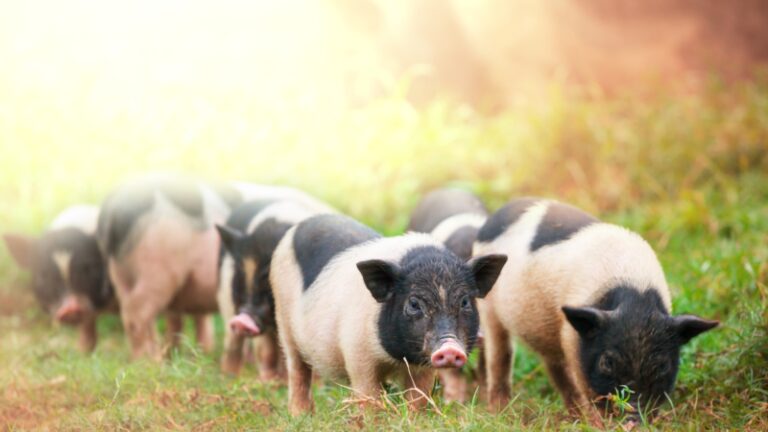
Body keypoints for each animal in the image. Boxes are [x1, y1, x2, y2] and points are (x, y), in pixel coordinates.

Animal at [216, 198, 330, 377]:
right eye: (239, 274)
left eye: (267, 277)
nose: (243, 319)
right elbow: (265, 351)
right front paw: (267, 380)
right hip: (225, 298)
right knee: (233, 342)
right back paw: (229, 376)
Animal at [270, 213, 507, 415]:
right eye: (414, 303)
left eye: (465, 301)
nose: (450, 348)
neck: (396, 358)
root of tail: (297, 227)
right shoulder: (356, 352)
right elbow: (368, 396)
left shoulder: (424, 365)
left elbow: (418, 396)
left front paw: (414, 420)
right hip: (283, 319)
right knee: (297, 369)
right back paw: (301, 415)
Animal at [473, 198, 719, 423]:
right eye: (607, 362)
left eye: (662, 365)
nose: (632, 418)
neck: (635, 297)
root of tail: (492, 219)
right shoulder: (571, 339)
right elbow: (587, 388)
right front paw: (598, 423)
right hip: (488, 307)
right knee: (500, 356)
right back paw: (500, 413)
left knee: (553, 367)